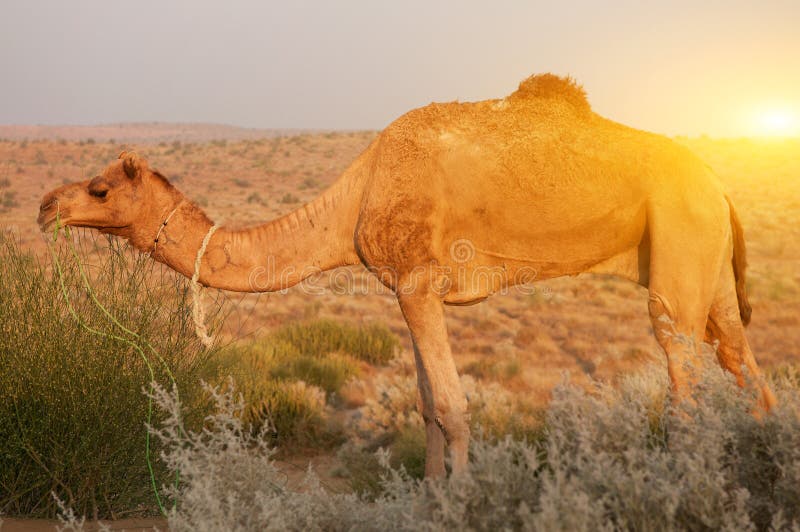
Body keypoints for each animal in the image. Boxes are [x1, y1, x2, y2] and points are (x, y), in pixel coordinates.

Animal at [38, 73, 776, 478]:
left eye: (100, 189)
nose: (47, 205)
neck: (356, 194)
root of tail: (721, 187)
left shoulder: (420, 284)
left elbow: (453, 408)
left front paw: (464, 500)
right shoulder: (407, 289)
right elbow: (425, 409)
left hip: (679, 242)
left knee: (683, 374)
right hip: (706, 262)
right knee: (748, 367)